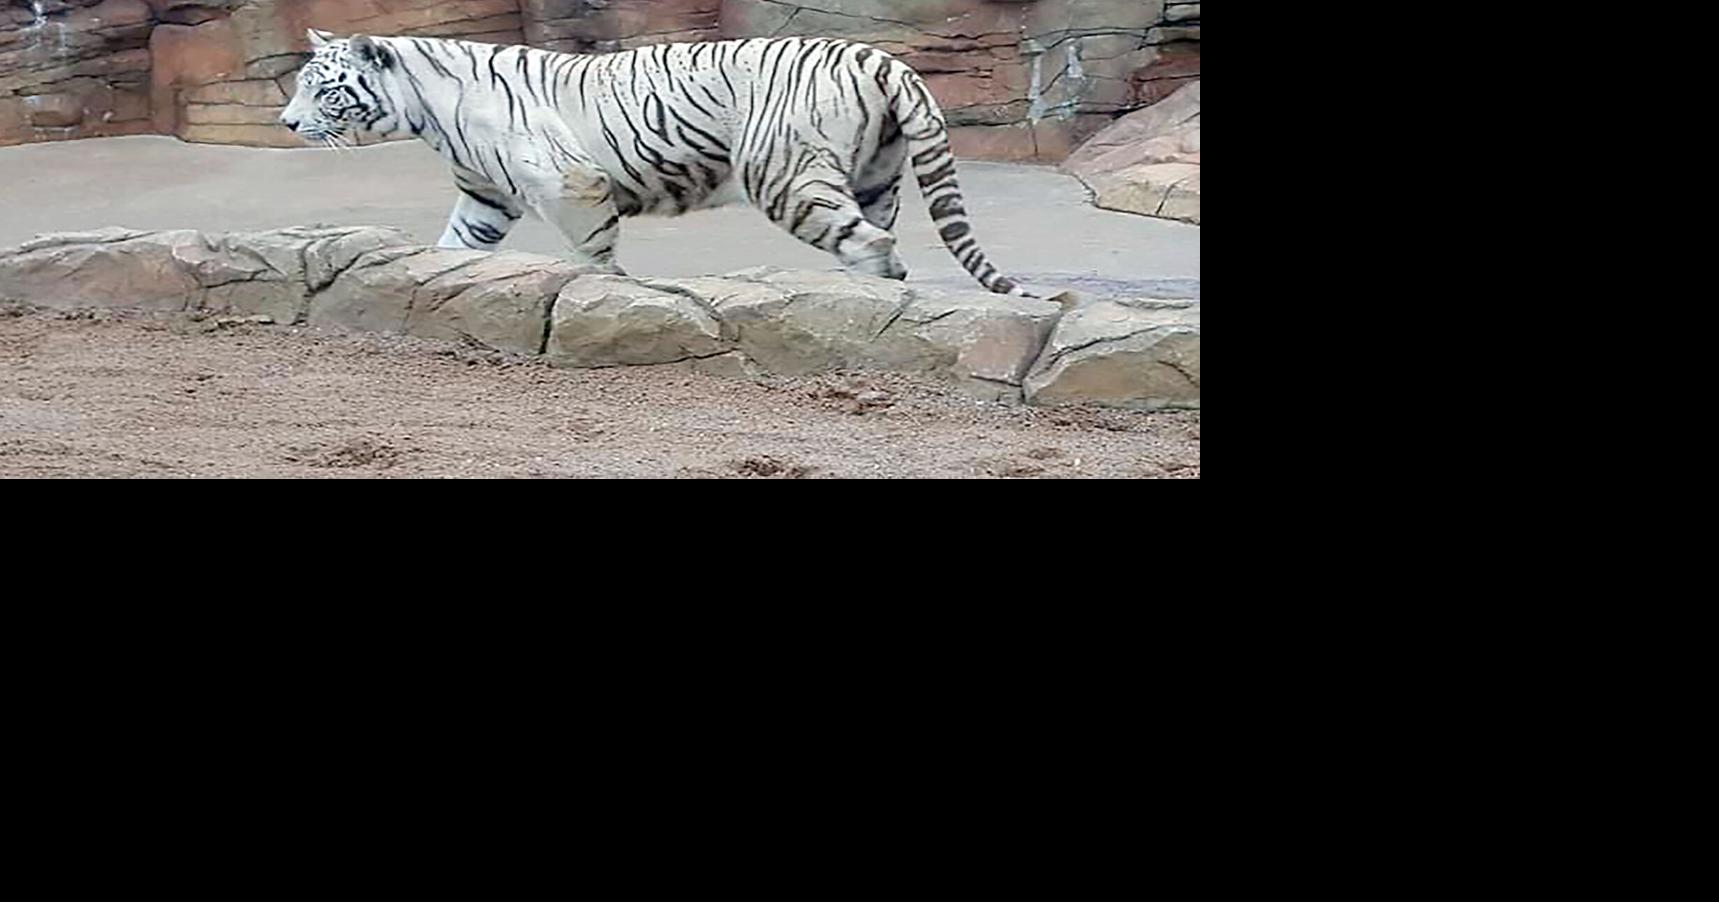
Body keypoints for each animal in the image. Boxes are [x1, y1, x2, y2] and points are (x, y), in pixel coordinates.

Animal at [279, 29, 1034, 296]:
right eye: (302, 84)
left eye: (323, 87)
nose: (286, 122)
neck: (427, 108)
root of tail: (877, 57)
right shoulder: (485, 195)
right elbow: (454, 245)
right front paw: (426, 277)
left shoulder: (569, 183)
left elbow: (593, 250)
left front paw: (605, 288)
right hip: (876, 169)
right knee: (880, 234)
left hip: (782, 173)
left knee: (870, 243)